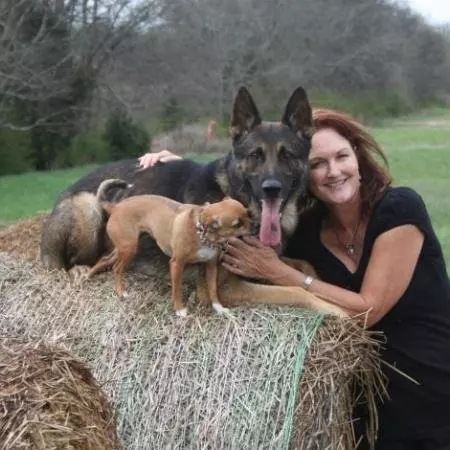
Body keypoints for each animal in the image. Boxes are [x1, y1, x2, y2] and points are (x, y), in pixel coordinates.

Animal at [86, 195, 251, 314]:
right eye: (237, 224)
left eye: (247, 213)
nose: (254, 224)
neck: (201, 233)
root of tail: (115, 207)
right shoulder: (177, 264)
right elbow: (177, 289)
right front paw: (179, 310)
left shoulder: (211, 266)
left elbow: (213, 289)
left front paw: (218, 307)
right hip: (129, 248)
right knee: (116, 268)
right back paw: (121, 292)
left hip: (123, 247)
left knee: (105, 259)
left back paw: (88, 275)